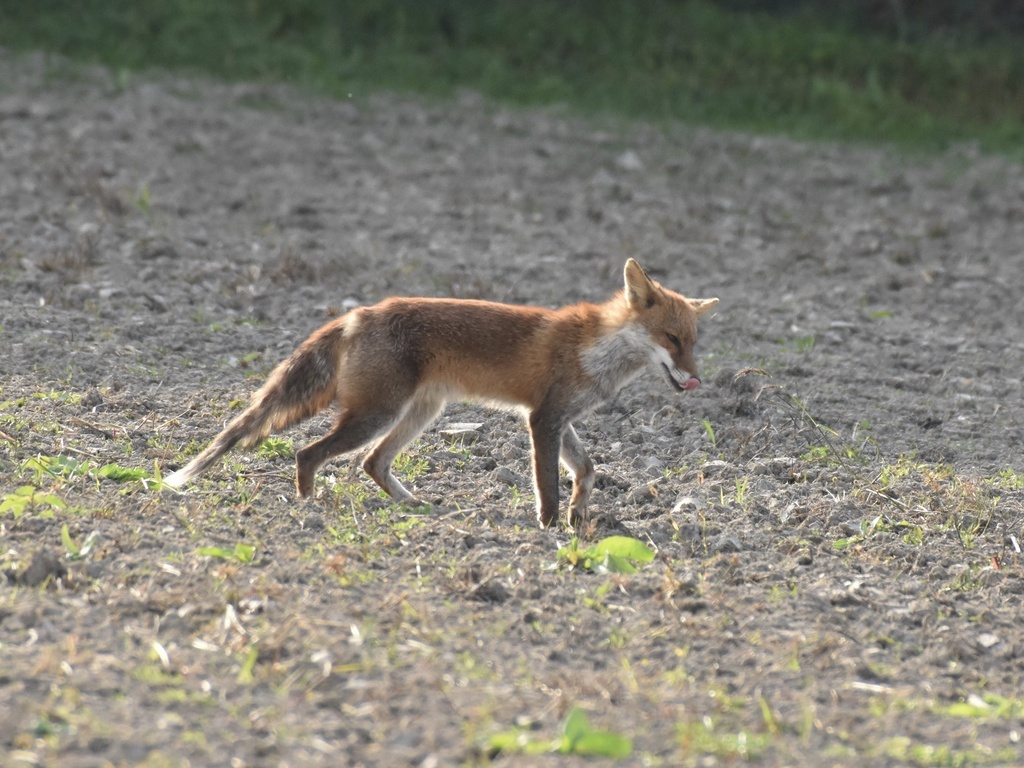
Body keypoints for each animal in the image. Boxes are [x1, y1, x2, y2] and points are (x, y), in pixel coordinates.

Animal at [164, 258, 717, 528]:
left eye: (694, 341)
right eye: (672, 339)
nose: (696, 379)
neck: (595, 350)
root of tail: (359, 313)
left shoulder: (559, 416)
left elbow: (587, 468)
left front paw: (581, 514)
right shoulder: (542, 419)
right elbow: (548, 484)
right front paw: (551, 527)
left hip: (418, 413)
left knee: (370, 463)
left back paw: (417, 508)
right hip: (379, 413)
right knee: (308, 454)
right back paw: (308, 510)